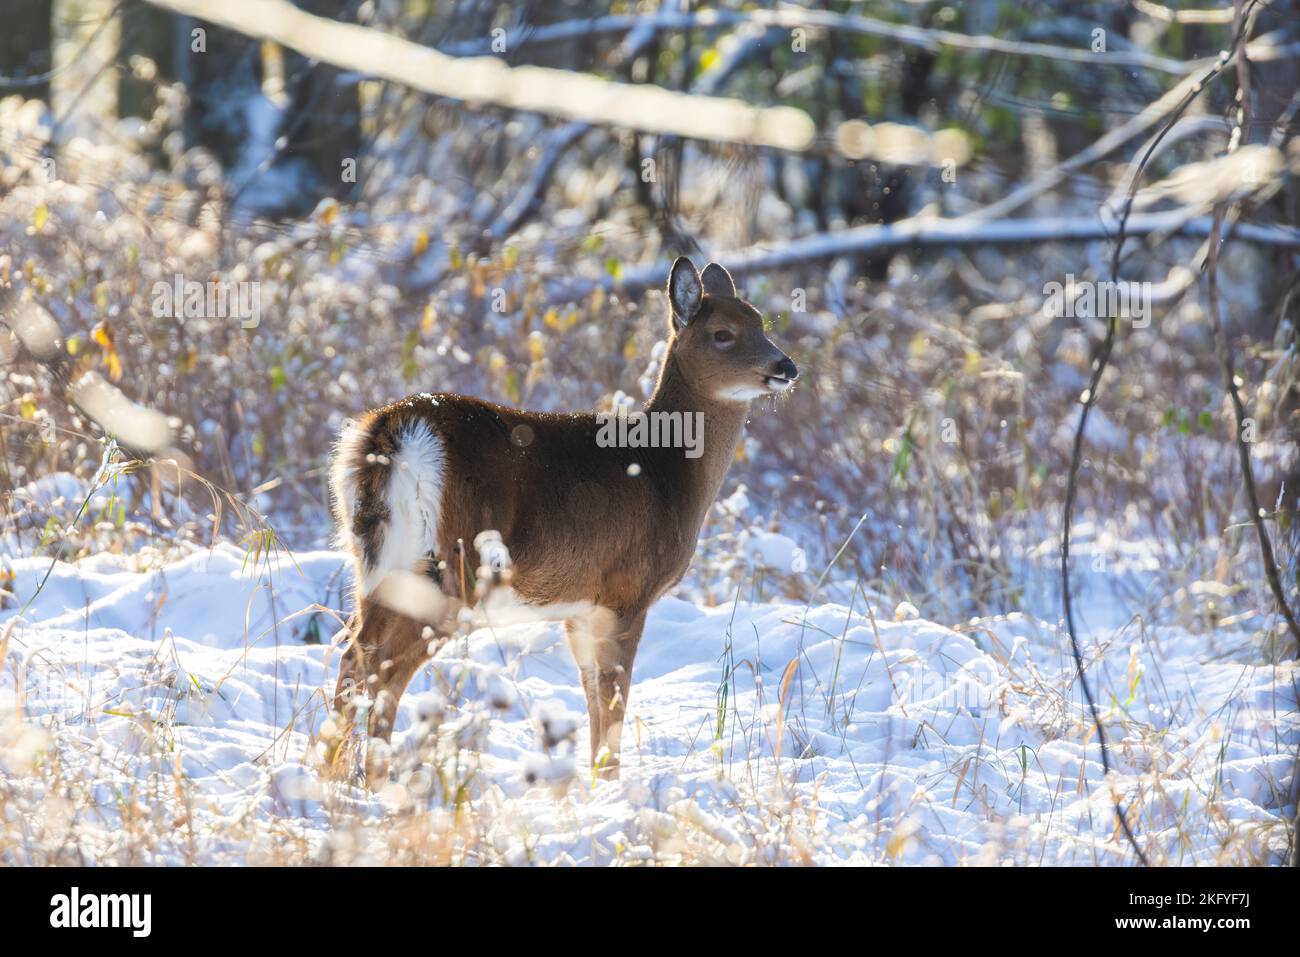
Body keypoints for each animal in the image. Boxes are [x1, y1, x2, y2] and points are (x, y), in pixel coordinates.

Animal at [330, 257, 798, 780]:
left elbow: (592, 699)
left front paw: (594, 784)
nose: (786, 366)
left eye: (760, 322)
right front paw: (611, 788)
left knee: (356, 658)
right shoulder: (626, 590)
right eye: (722, 334)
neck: (667, 470)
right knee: (381, 671)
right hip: (453, 569)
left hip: (373, 563)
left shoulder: (581, 606)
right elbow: (613, 703)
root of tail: (392, 431)